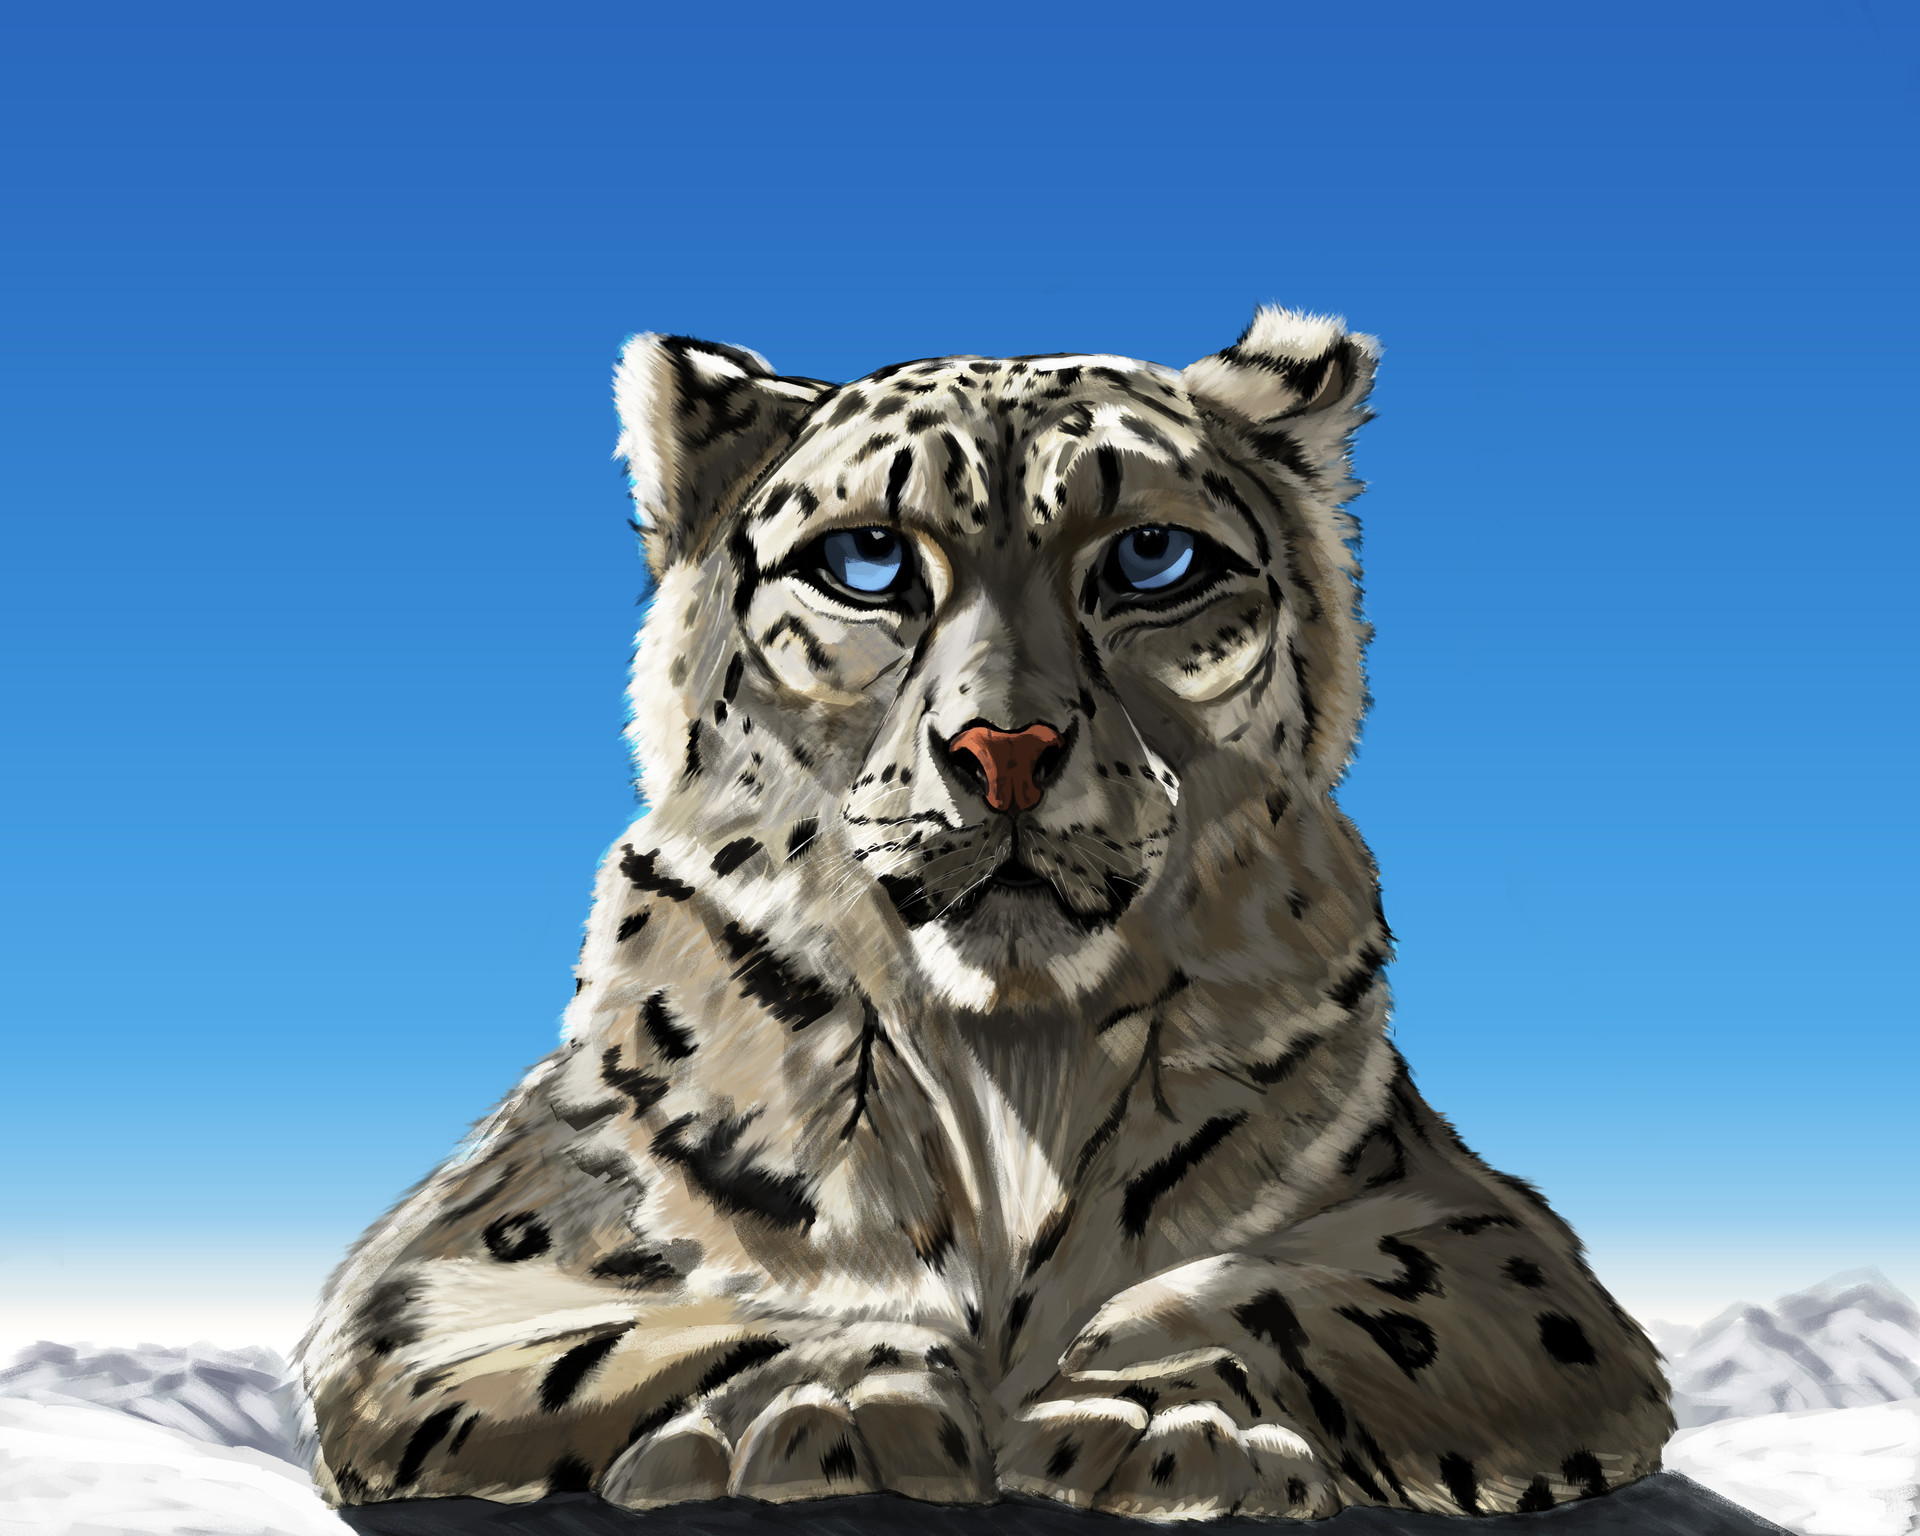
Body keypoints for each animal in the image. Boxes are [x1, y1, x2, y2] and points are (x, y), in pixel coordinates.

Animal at [295, 308, 1673, 1521]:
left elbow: (1290, 1285)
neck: (1013, 1069)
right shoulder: (459, 1259)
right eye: (866, 561)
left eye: (1153, 557)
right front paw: (821, 1402)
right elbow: (646, 1323)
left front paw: (1157, 1419)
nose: (1002, 748)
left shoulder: (1479, 1230)